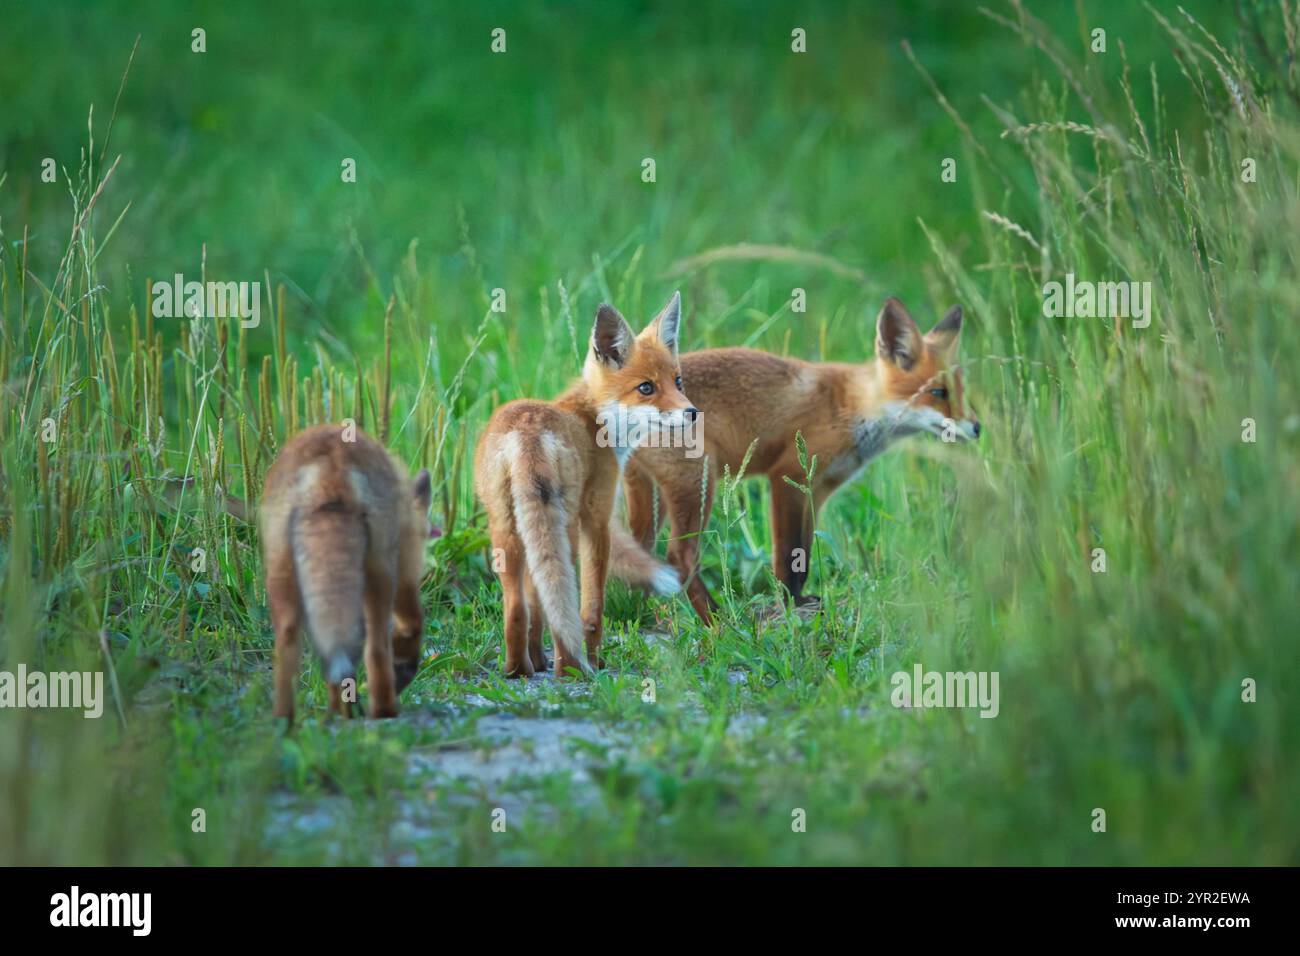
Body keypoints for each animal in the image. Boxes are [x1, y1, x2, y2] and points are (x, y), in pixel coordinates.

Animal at [259, 423, 433, 722]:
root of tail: (331, 462)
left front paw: (338, 709)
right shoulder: (401, 572)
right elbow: (412, 623)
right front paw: (404, 667)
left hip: (281, 575)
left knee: (288, 649)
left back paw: (286, 721)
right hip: (379, 574)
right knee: (375, 648)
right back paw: (384, 711)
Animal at [474, 292, 698, 677]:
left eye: (678, 382)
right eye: (646, 388)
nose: (692, 412)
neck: (595, 419)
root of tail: (527, 429)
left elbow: (538, 606)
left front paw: (539, 659)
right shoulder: (596, 517)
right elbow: (591, 608)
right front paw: (593, 660)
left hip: (508, 527)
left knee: (518, 608)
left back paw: (520, 668)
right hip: (563, 525)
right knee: (561, 603)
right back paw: (570, 669)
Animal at [613, 297, 980, 621]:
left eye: (962, 392)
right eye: (938, 393)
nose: (977, 428)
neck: (852, 407)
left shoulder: (818, 490)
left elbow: (803, 553)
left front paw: (802, 600)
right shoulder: (787, 476)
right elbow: (788, 556)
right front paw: (790, 604)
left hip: (653, 493)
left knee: (641, 550)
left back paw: (637, 613)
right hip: (698, 481)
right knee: (679, 555)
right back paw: (717, 620)